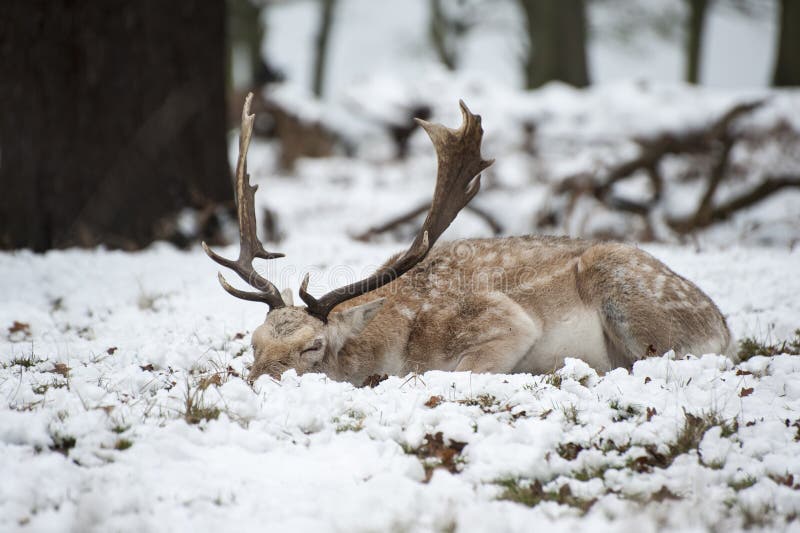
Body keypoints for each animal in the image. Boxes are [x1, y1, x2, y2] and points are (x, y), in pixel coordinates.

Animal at [204, 93, 733, 385]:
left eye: (313, 347)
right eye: (254, 343)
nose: (257, 383)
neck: (395, 341)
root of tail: (724, 328)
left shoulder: (507, 320)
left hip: (635, 297)